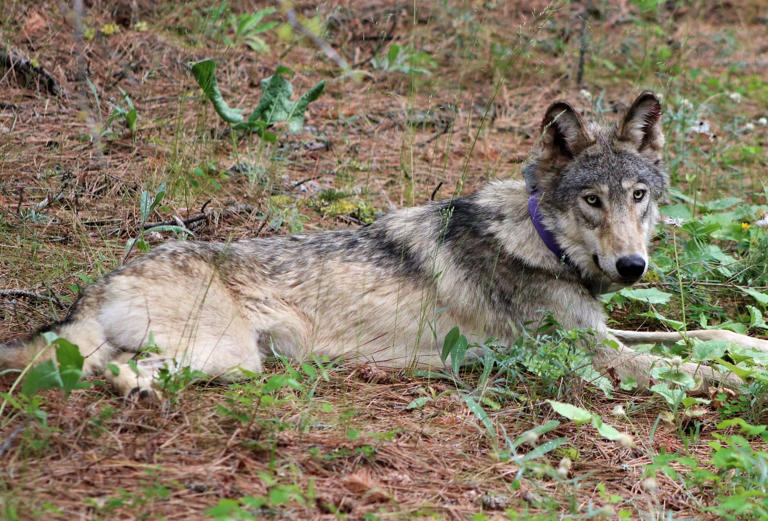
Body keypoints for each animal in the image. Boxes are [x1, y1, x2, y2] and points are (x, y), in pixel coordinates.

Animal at [3, 92, 767, 399]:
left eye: (638, 196)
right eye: (592, 201)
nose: (632, 265)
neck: (540, 241)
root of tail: (99, 284)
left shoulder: (603, 334)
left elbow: (704, 332)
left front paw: (751, 349)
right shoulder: (586, 356)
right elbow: (683, 368)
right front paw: (740, 383)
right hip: (228, 357)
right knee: (108, 370)